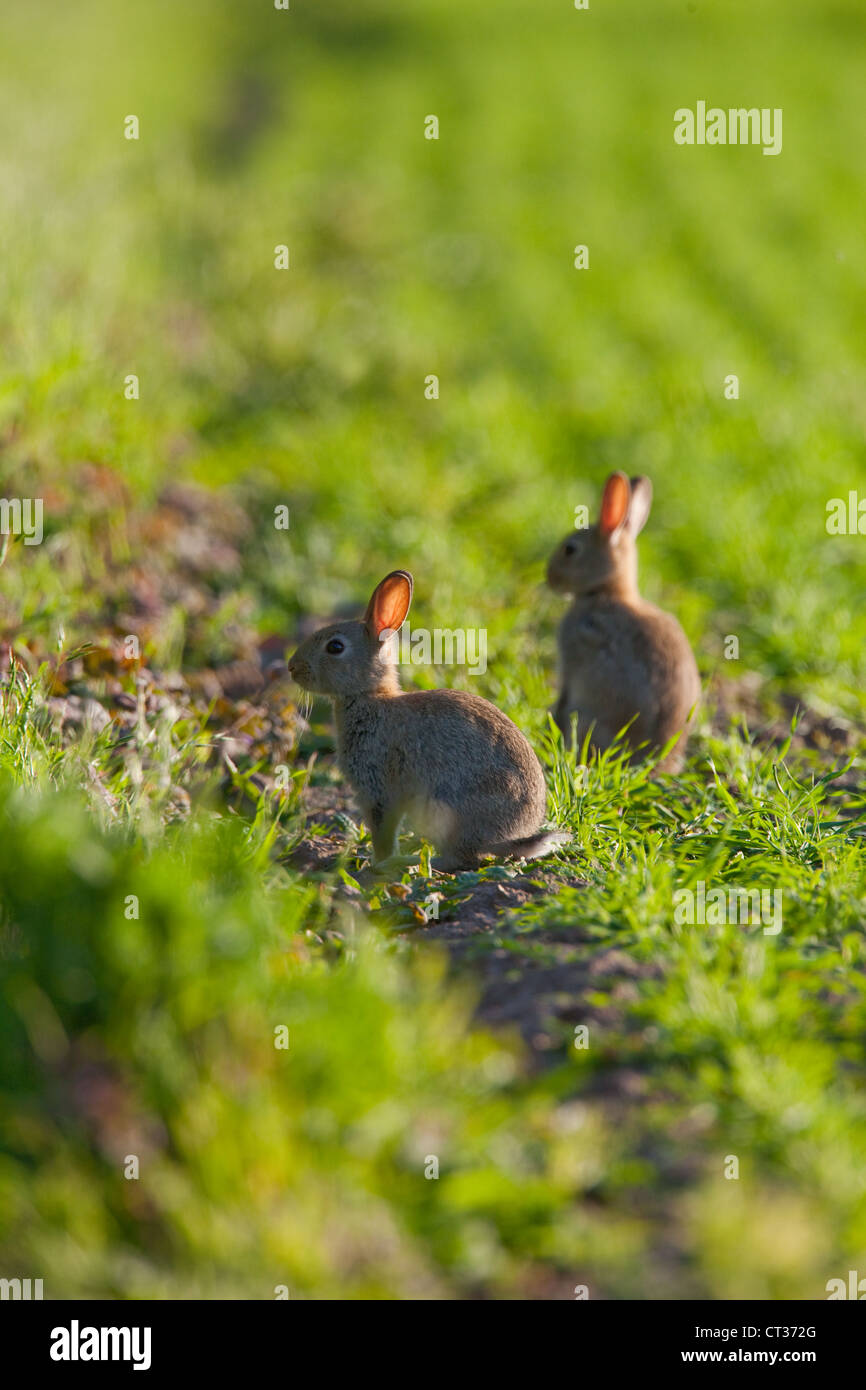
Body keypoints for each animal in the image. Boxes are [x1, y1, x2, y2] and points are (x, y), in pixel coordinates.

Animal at [288, 570, 567, 871]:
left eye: (335, 647)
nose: (292, 667)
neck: (369, 696)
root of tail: (507, 838)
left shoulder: (378, 789)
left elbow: (383, 833)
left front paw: (377, 863)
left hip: (446, 810)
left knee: (461, 858)